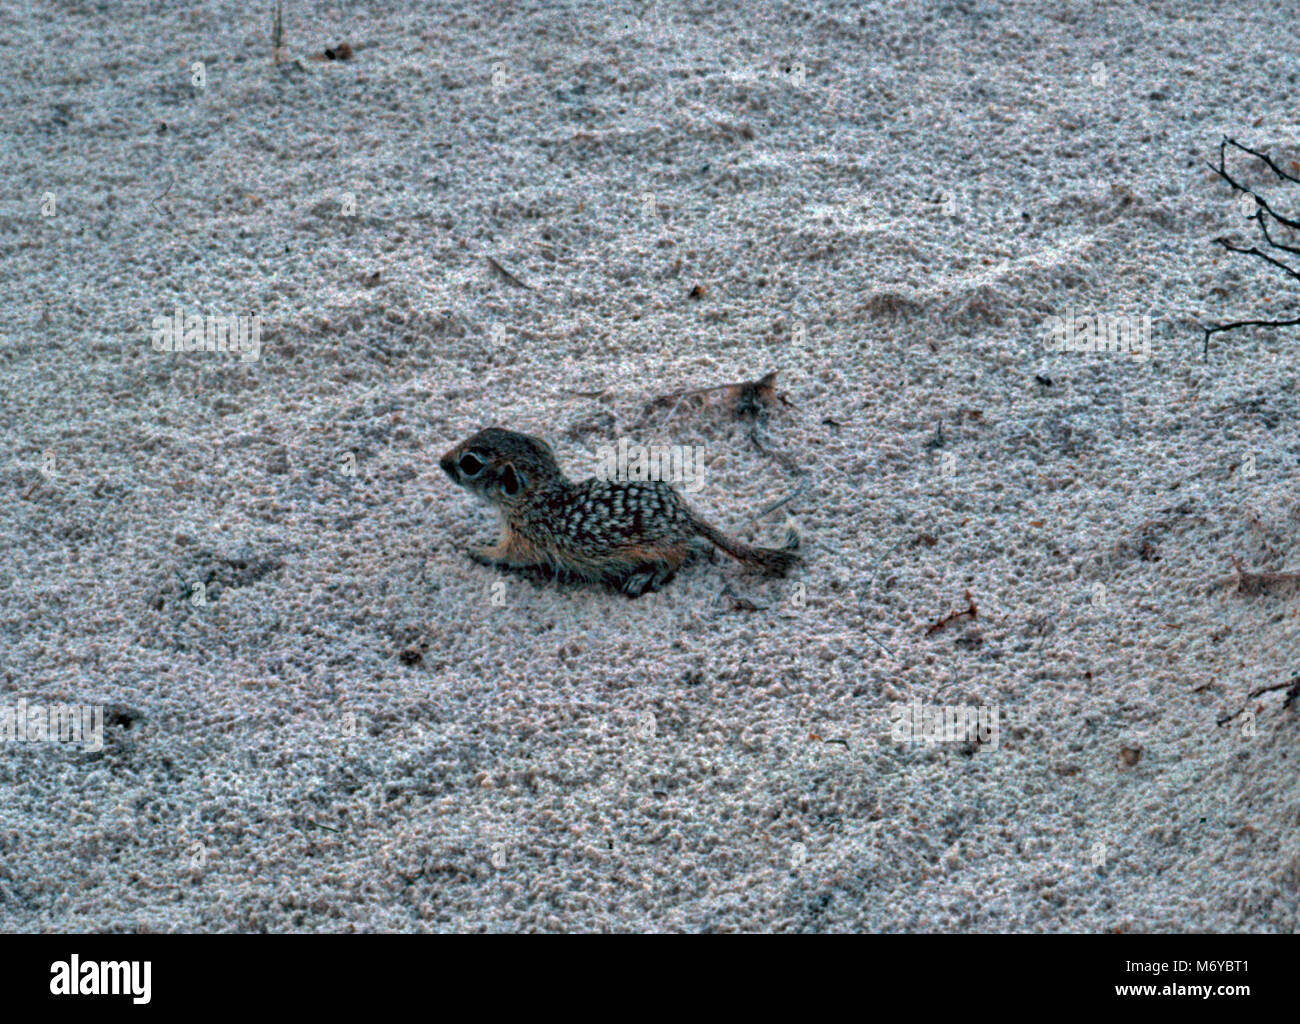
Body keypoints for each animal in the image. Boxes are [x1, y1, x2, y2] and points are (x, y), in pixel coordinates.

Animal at [440, 427, 801, 597]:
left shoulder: (525, 542)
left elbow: (505, 556)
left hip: (657, 546)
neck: (541, 496)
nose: (441, 461)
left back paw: (643, 578)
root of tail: (684, 514)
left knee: (676, 560)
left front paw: (478, 550)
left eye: (469, 463)